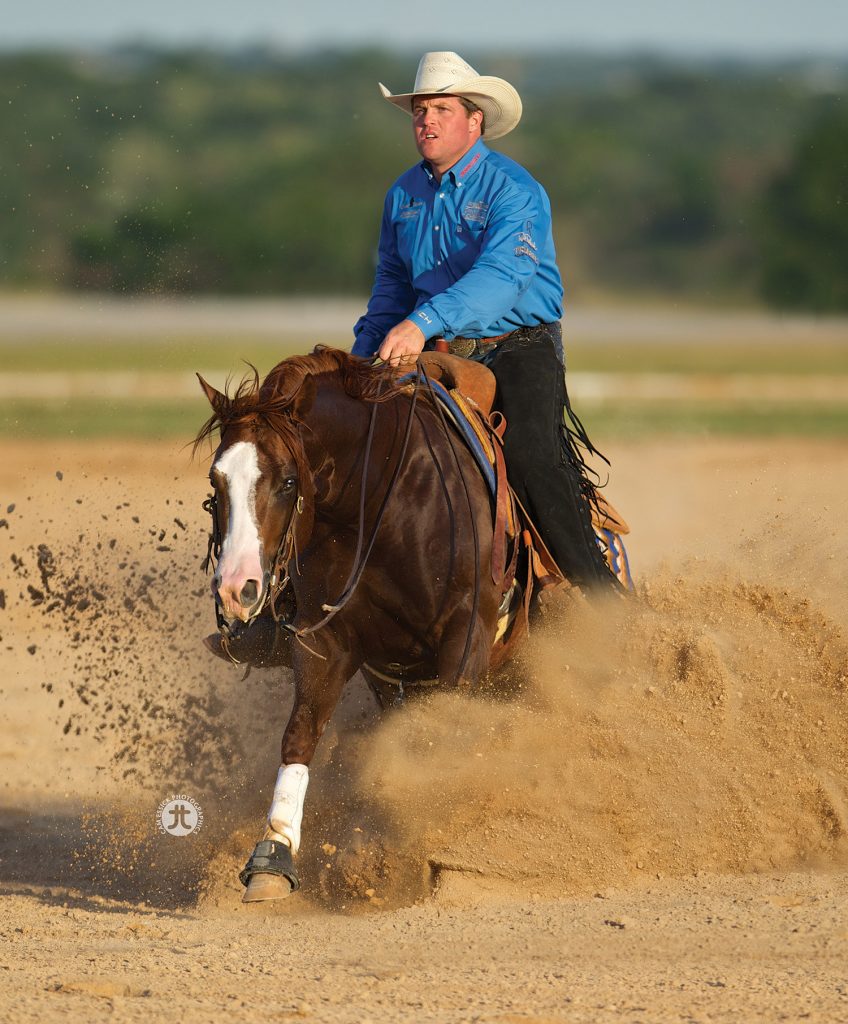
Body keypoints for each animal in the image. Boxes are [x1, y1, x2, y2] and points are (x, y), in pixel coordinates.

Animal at [195, 347, 524, 902]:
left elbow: (446, 740)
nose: (237, 589)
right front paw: (272, 858)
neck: (380, 505)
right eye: (216, 483)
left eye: (288, 481)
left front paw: (443, 859)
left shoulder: (466, 638)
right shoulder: (327, 642)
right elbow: (300, 735)